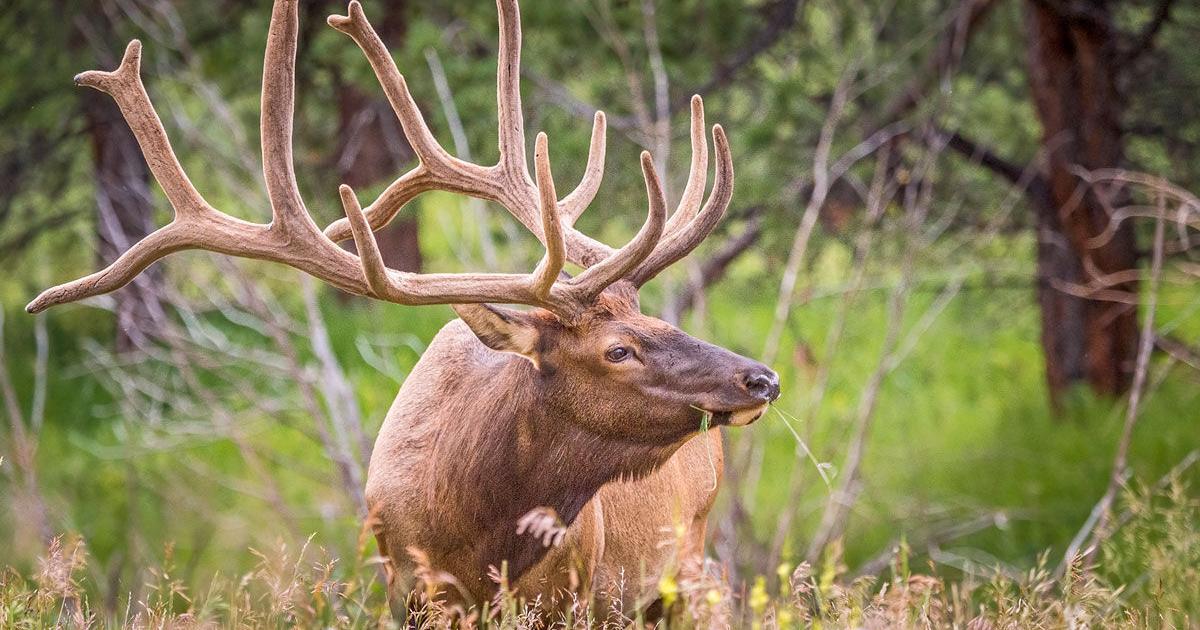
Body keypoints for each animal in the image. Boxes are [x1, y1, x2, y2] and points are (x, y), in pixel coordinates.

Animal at [27, 0, 780, 617]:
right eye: (618, 349)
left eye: (662, 322)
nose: (761, 378)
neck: (474, 536)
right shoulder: (408, 588)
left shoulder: (571, 593)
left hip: (690, 564)